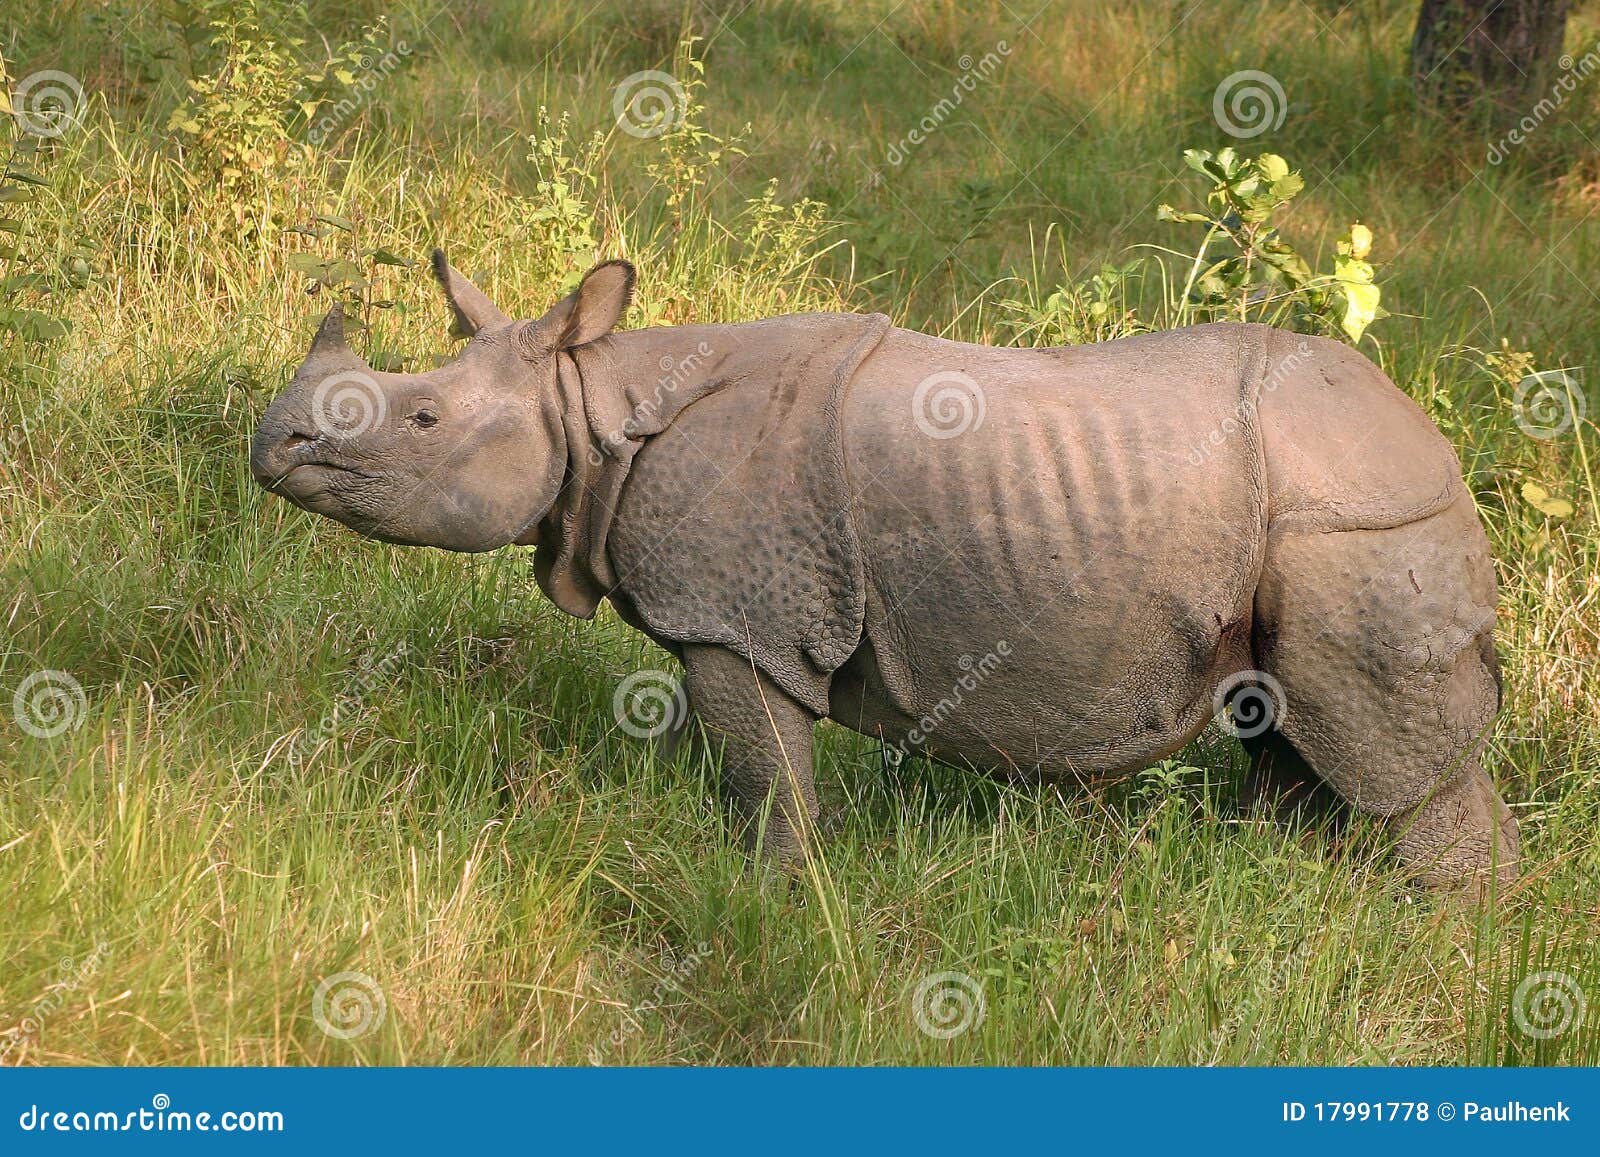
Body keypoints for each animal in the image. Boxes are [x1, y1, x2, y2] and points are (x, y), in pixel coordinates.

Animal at [250, 253, 1520, 890]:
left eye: (419, 418)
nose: (273, 445)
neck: (588, 402)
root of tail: (1441, 447)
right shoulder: (739, 612)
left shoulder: (742, 622)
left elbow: (766, 775)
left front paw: (775, 894)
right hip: (1320, 521)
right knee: (1295, 736)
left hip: (1358, 526)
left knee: (1384, 755)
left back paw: (1447, 937)